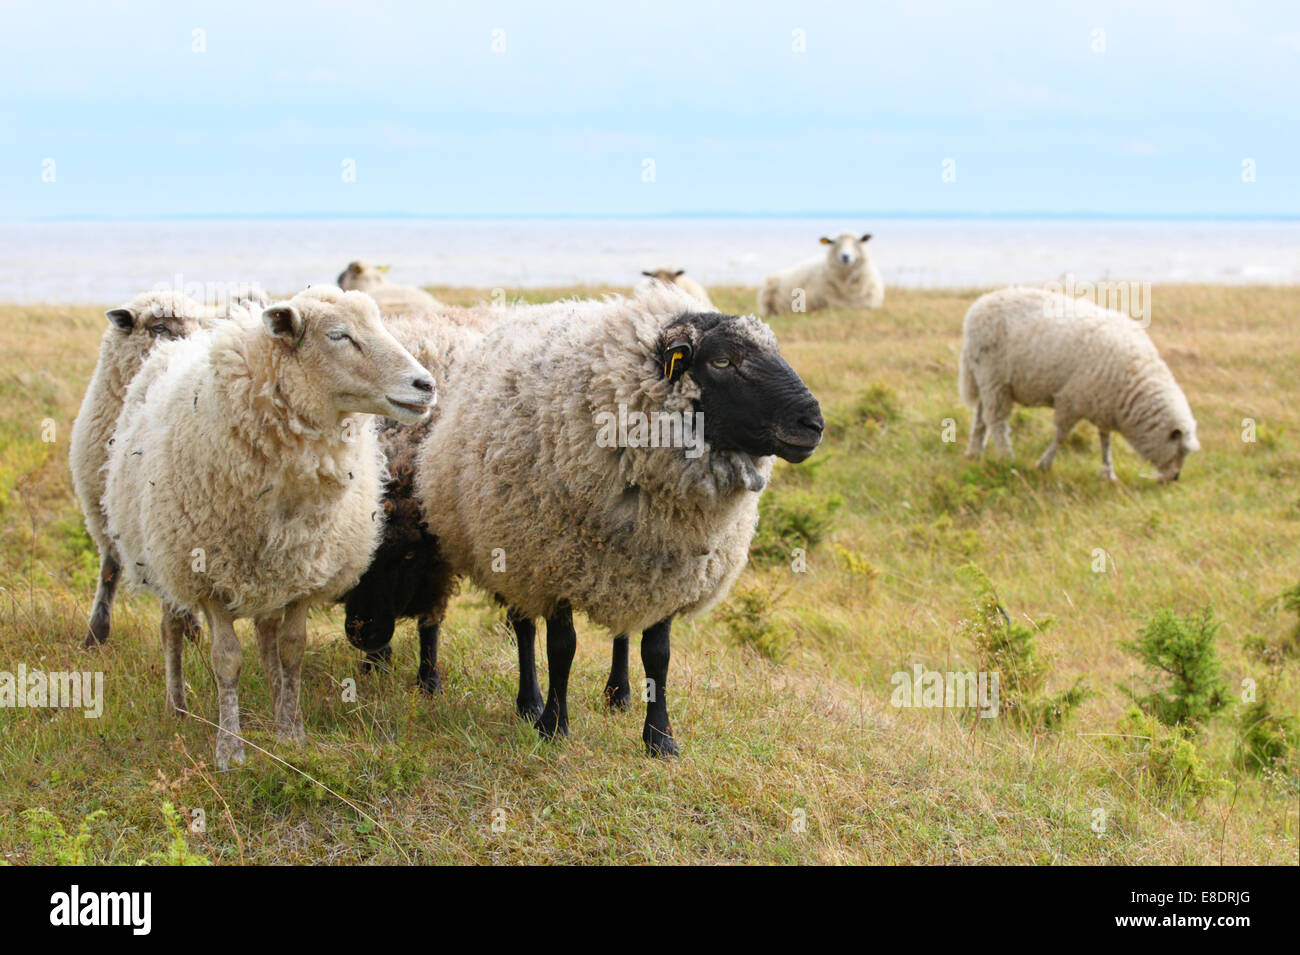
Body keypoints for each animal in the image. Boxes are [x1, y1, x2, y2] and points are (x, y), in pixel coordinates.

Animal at [70, 287, 267, 649]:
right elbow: (109, 569)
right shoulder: (103, 510)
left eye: (199, 323)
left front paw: (192, 630)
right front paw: (95, 634)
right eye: (159, 327)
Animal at [103, 286, 435, 768]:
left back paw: (276, 699)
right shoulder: (208, 576)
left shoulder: (305, 573)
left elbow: (291, 650)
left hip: (267, 570)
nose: (426, 385)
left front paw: (291, 732)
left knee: (265, 636)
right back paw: (177, 705)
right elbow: (226, 660)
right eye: (338, 336)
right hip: (163, 557)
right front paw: (230, 748)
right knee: (171, 630)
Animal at [414, 283, 824, 755]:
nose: (814, 424)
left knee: (622, 632)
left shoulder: (670, 569)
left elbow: (658, 654)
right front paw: (554, 725)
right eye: (722, 361)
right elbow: (561, 648)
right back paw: (529, 702)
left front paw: (660, 738)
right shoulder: (552, 565)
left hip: (621, 565)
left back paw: (619, 694)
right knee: (524, 627)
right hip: (508, 549)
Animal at [959, 286, 1200, 482]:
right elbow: (1062, 435)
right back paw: (1007, 457)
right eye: (1179, 450)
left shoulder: (1103, 405)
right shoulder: (1070, 400)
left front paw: (1109, 473)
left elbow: (1105, 440)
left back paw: (973, 453)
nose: (1175, 479)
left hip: (985, 380)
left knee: (980, 419)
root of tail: (979, 304)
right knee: (997, 422)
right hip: (993, 378)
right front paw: (1044, 463)